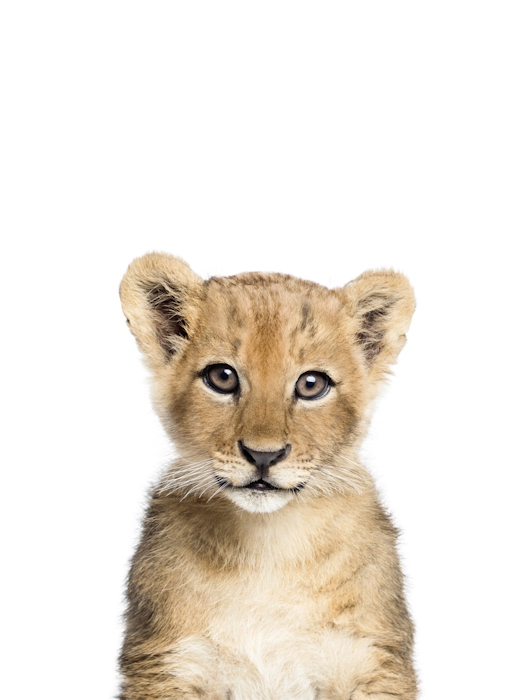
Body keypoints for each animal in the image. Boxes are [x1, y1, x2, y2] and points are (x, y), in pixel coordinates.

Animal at [118, 253, 417, 699]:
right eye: (222, 377)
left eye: (311, 384)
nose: (264, 455)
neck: (268, 546)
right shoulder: (168, 662)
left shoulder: (371, 659)